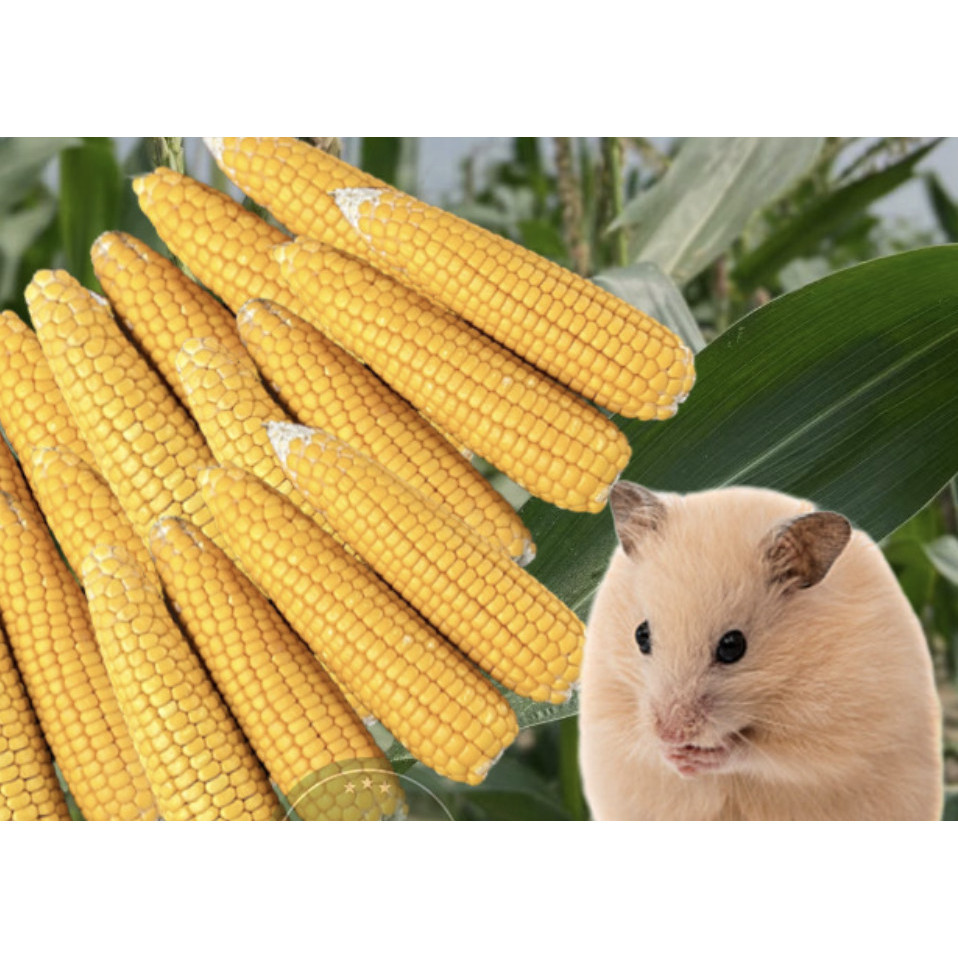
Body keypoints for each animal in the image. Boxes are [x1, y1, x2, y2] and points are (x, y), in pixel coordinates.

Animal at [578, 483, 943, 820]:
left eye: (732, 646)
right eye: (641, 635)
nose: (670, 733)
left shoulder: (842, 726)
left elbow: (767, 755)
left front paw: (699, 756)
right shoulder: (607, 707)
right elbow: (636, 740)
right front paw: (673, 756)